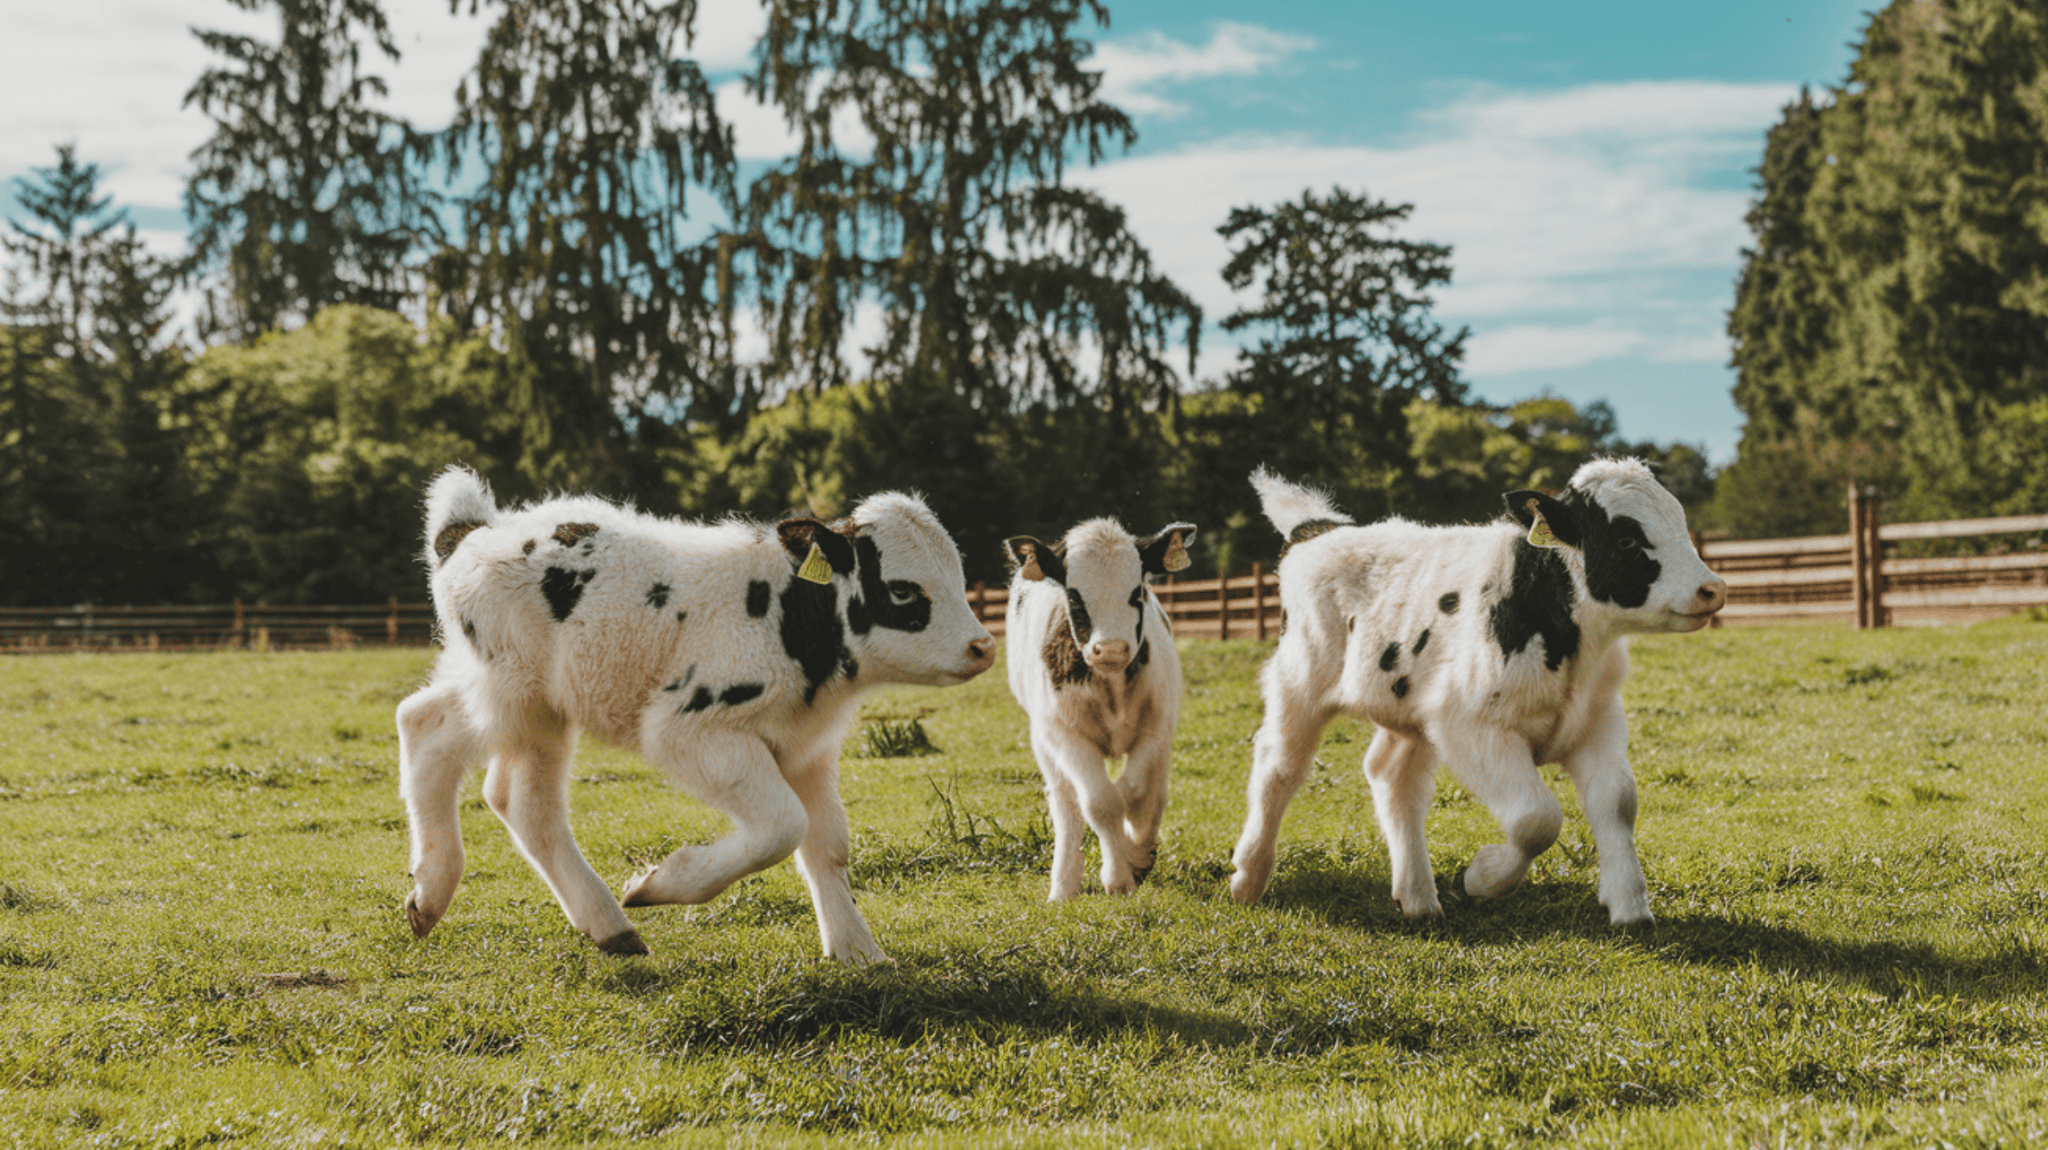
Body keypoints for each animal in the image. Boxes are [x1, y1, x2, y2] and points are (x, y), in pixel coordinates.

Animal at [396, 467, 995, 963]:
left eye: (957, 573)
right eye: (903, 591)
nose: (983, 647)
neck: (786, 619)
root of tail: (472, 530)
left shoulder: (808, 747)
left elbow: (828, 844)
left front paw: (857, 951)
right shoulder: (689, 729)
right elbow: (783, 826)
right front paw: (662, 883)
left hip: (537, 710)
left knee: (517, 798)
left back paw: (607, 926)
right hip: (511, 691)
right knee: (426, 726)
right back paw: (433, 891)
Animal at [1003, 519, 1196, 901]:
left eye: (1137, 592)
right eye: (1074, 596)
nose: (1110, 649)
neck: (1112, 686)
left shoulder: (1159, 725)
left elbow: (1134, 792)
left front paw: (1135, 853)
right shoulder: (1064, 734)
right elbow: (1101, 802)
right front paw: (1118, 875)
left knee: (1154, 791)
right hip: (1044, 744)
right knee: (1066, 805)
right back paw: (1064, 883)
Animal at [1228, 460, 1727, 924]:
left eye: (1679, 520)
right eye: (1625, 539)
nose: (1713, 588)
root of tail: (1318, 530)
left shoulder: (1598, 721)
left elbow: (1617, 803)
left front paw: (1629, 906)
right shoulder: (1470, 726)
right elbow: (1536, 818)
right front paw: (1482, 877)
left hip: (1407, 709)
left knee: (1393, 776)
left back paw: (1417, 897)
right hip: (1299, 679)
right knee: (1279, 767)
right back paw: (1248, 877)